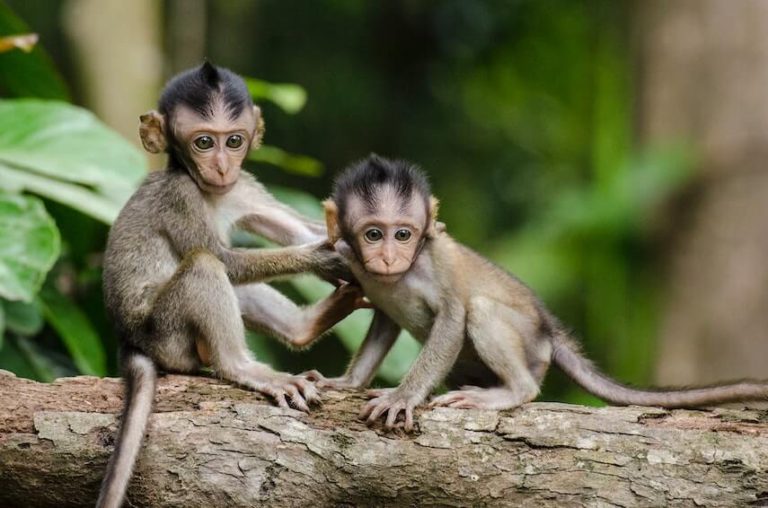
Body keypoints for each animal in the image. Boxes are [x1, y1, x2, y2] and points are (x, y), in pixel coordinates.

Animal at [97, 62, 365, 508]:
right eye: (203, 142)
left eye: (234, 140)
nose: (222, 166)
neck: (209, 192)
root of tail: (129, 340)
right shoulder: (180, 196)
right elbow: (223, 260)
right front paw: (324, 257)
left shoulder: (244, 186)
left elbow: (297, 229)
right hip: (167, 335)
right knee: (205, 267)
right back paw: (242, 367)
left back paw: (305, 325)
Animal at [303, 154, 768, 433]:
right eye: (373, 234)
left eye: (403, 234)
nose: (387, 257)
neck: (397, 276)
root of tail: (549, 332)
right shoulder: (357, 268)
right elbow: (383, 321)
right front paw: (347, 383)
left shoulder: (435, 262)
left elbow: (453, 318)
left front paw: (403, 396)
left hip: (530, 346)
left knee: (482, 312)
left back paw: (513, 391)